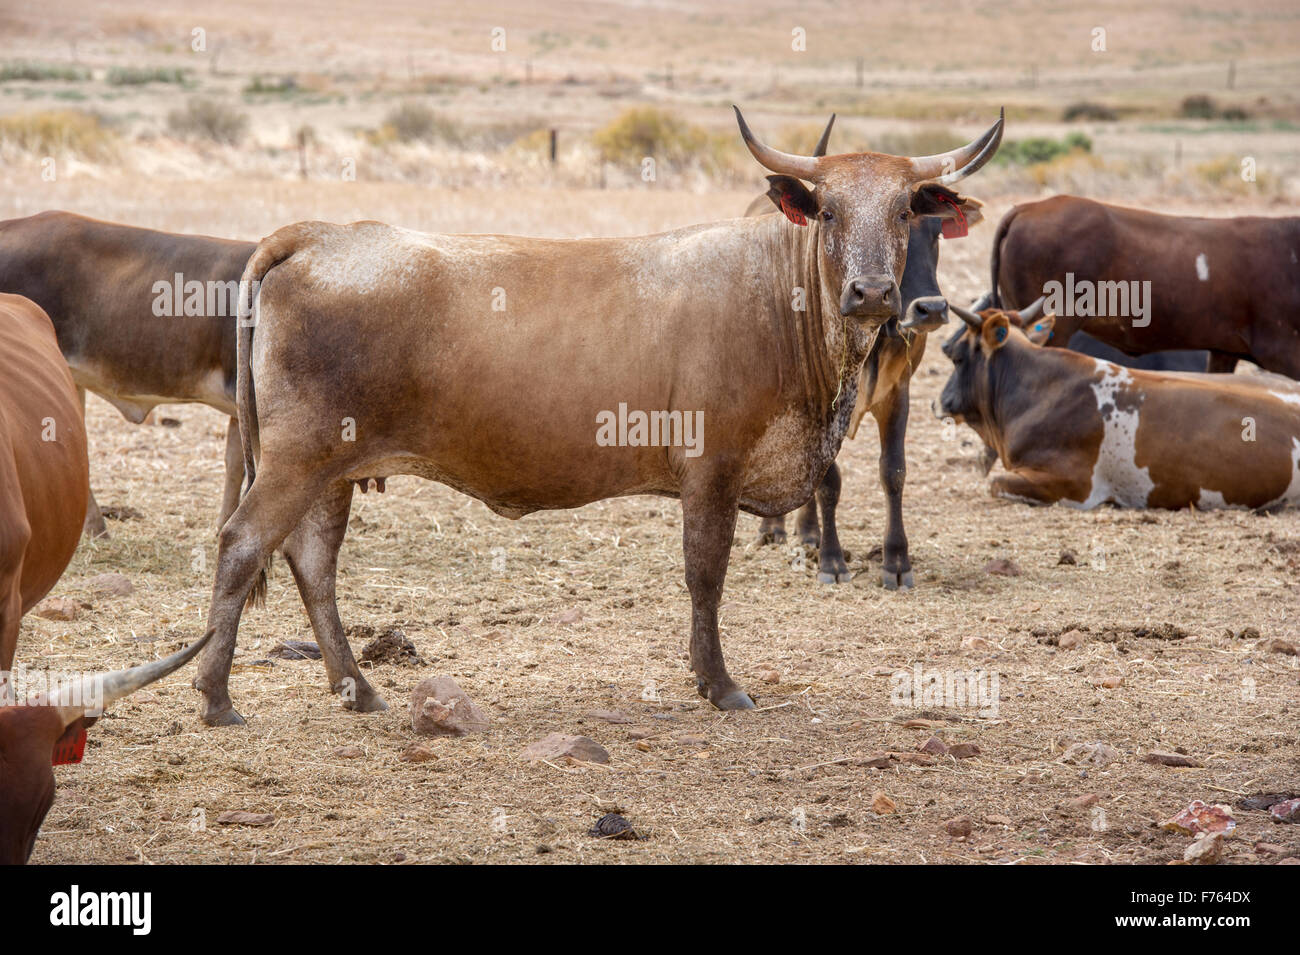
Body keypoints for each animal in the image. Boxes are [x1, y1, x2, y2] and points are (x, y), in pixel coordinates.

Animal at [750, 115, 982, 588]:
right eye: (828, 214)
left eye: (912, 218)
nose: (930, 308)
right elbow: (829, 481)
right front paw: (832, 561)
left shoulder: (899, 394)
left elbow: (893, 471)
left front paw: (896, 561)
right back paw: (777, 529)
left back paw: (807, 531)